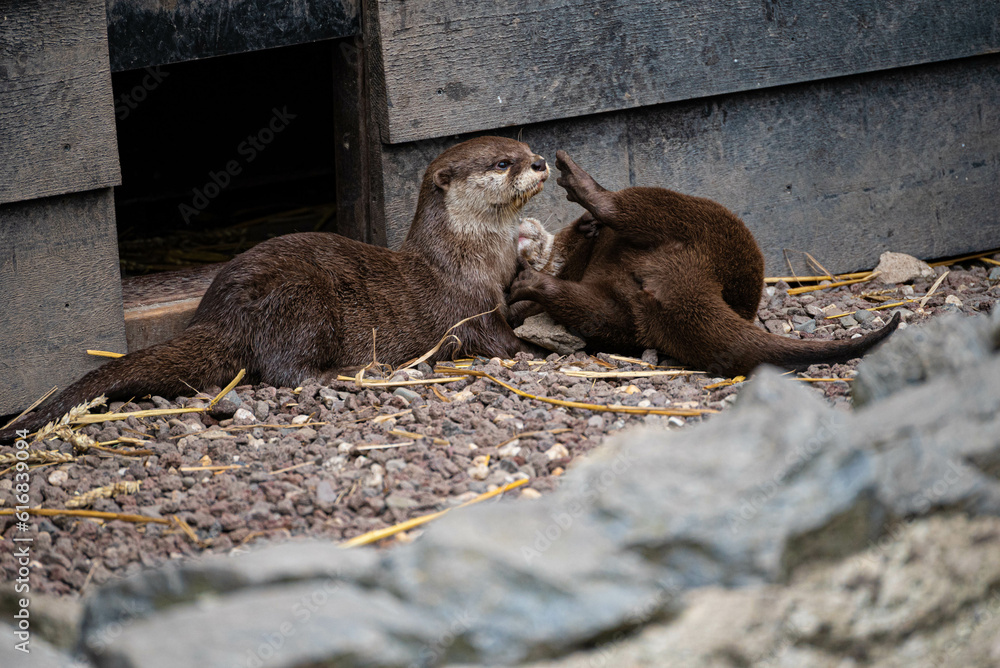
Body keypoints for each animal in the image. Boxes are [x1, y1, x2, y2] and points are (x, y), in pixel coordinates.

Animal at [1, 137, 548, 439]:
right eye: (502, 163)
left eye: (526, 150)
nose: (541, 161)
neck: (469, 252)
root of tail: (218, 315)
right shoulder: (471, 305)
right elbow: (502, 341)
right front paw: (540, 349)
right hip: (304, 301)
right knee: (284, 370)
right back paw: (349, 373)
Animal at [509, 150, 900, 377]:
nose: (522, 228)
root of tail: (701, 276)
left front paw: (586, 225)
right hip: (628, 320)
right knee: (585, 305)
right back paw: (531, 282)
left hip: (696, 218)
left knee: (627, 208)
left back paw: (580, 183)